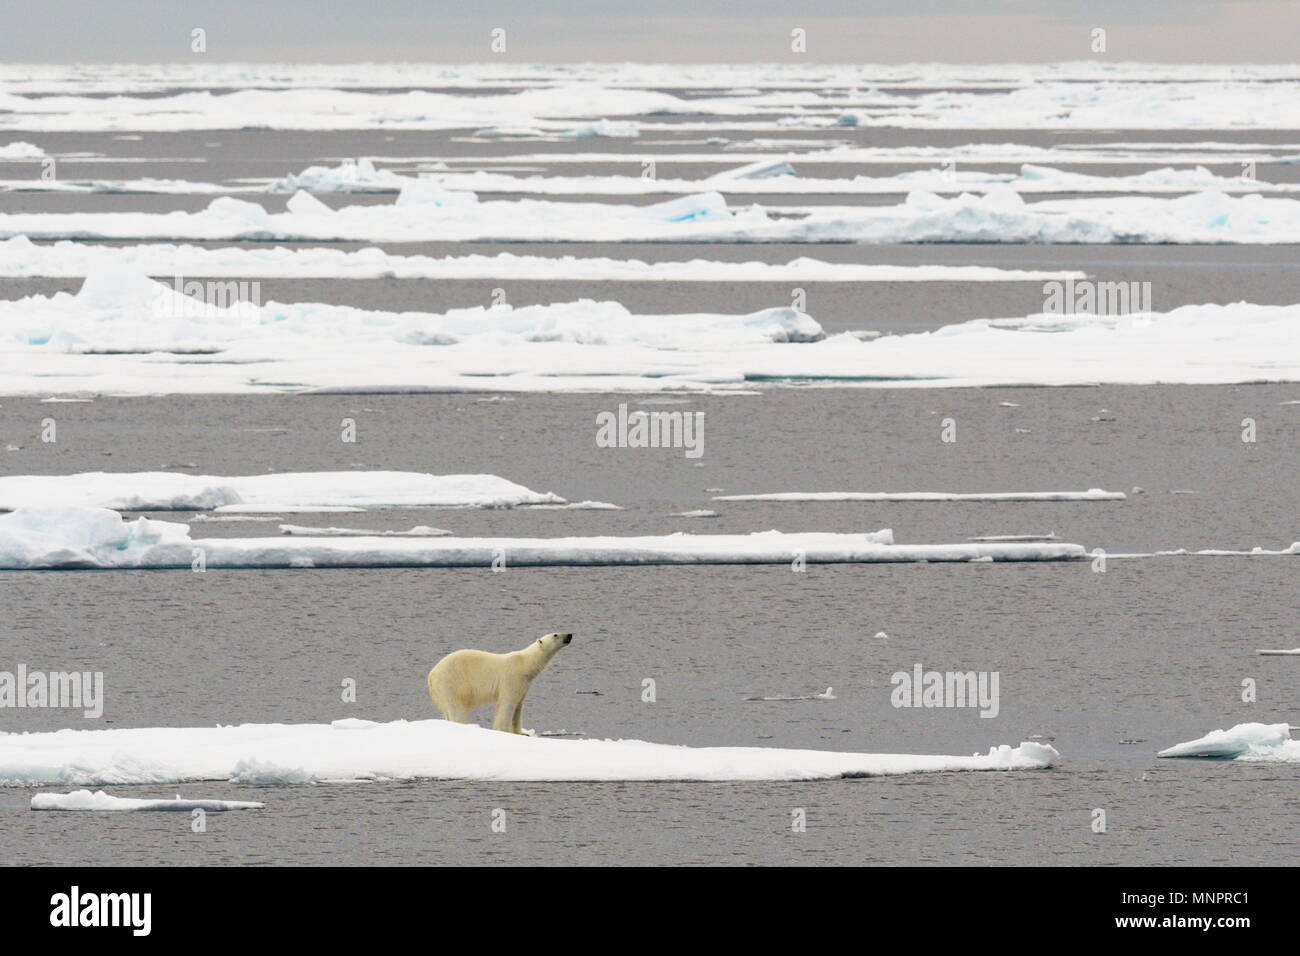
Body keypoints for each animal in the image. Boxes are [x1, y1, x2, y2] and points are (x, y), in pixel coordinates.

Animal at [427, 632, 573, 735]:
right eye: (555, 634)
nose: (570, 635)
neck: (525, 665)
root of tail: (431, 676)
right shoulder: (512, 678)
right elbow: (507, 704)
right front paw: (503, 730)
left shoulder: (524, 684)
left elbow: (518, 707)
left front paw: (522, 733)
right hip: (452, 683)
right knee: (457, 709)